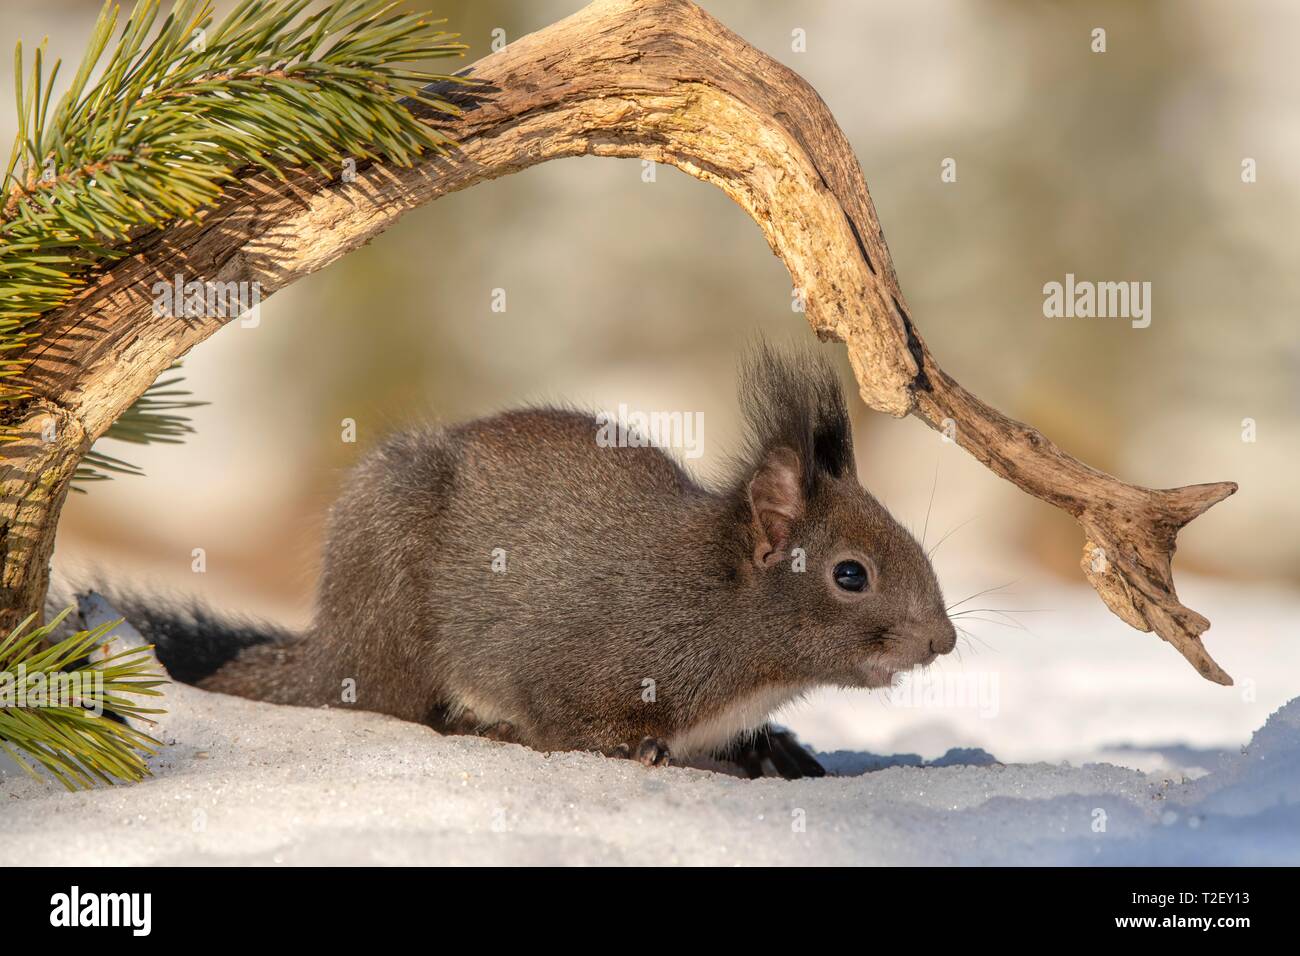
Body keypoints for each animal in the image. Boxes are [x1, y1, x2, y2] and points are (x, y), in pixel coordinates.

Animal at [76, 345, 957, 779]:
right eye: (850, 574)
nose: (943, 642)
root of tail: (332, 642)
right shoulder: (576, 657)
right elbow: (566, 714)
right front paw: (630, 750)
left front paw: (771, 745)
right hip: (392, 602)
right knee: (397, 706)